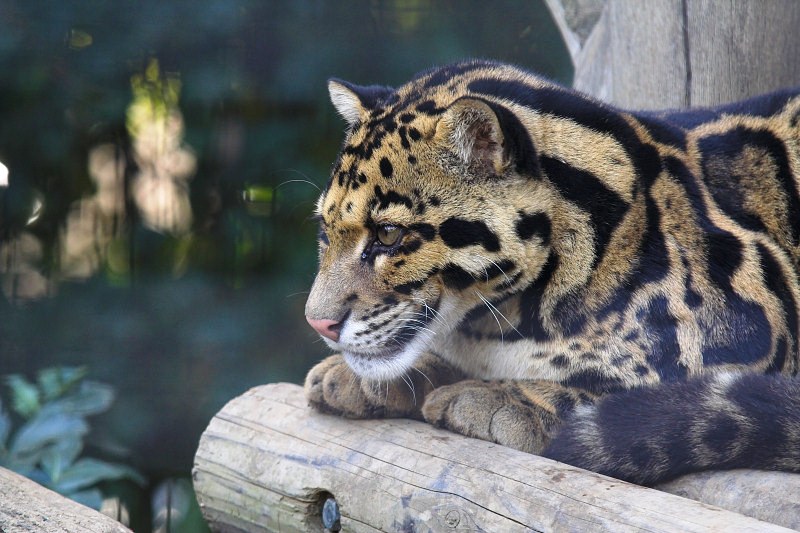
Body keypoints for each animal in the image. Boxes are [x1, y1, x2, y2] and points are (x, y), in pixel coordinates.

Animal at [303, 59, 800, 486]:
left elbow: (629, 390)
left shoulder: (752, 330)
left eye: (388, 235)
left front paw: (503, 399)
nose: (318, 322)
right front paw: (360, 378)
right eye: (325, 231)